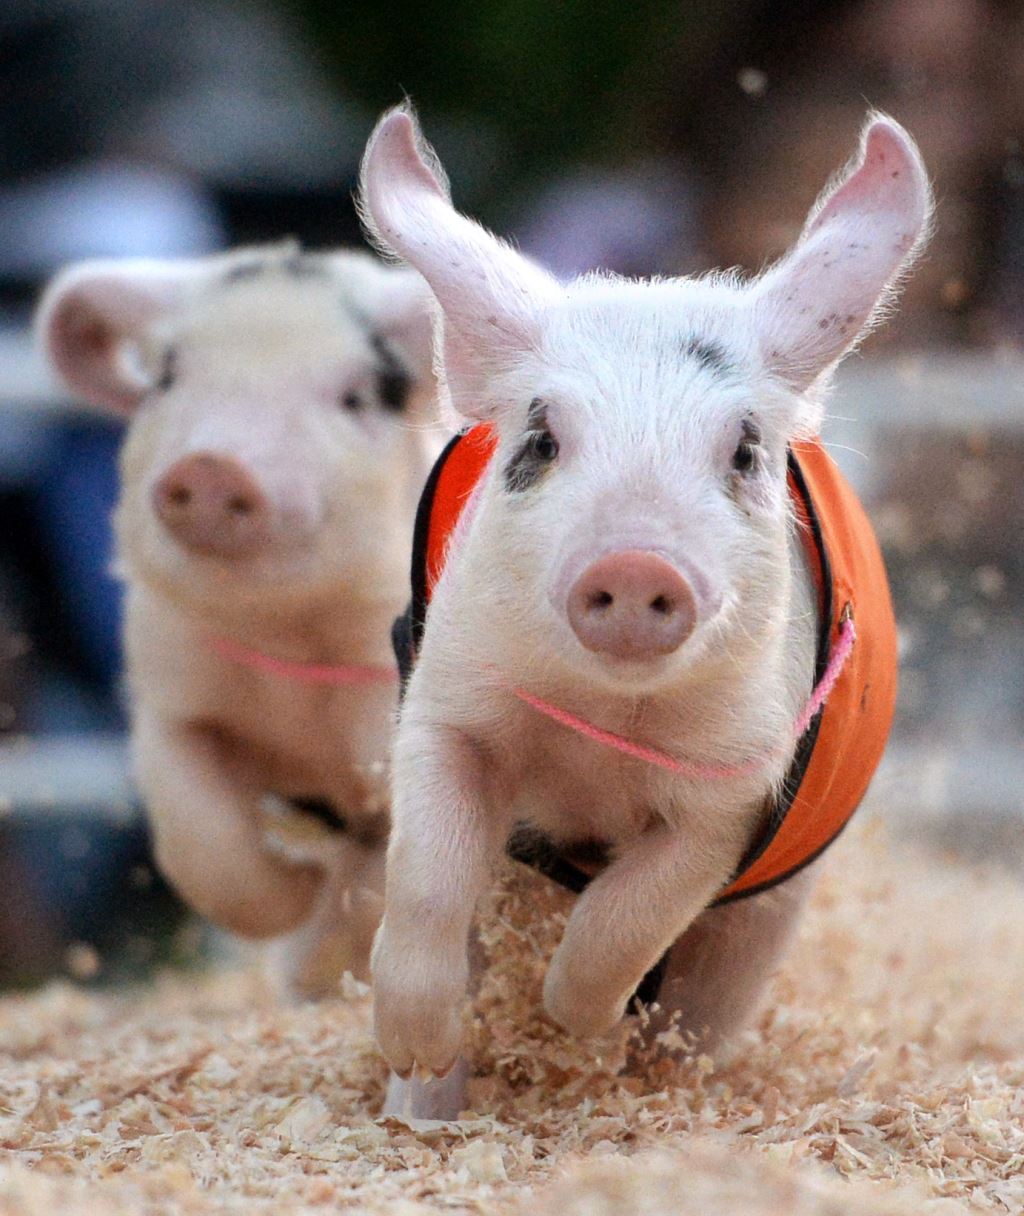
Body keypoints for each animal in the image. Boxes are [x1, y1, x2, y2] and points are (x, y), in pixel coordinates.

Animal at [36, 242, 443, 993]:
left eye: (353, 396)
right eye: (169, 375)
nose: (212, 466)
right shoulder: (167, 700)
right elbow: (200, 839)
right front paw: (294, 891)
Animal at [358, 108, 931, 1118]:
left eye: (744, 451)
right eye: (543, 438)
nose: (633, 562)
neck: (597, 735)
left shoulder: (738, 785)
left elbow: (633, 910)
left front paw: (570, 1020)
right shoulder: (445, 703)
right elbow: (426, 878)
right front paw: (420, 1047)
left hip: (763, 931)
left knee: (701, 1013)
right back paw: (419, 1110)